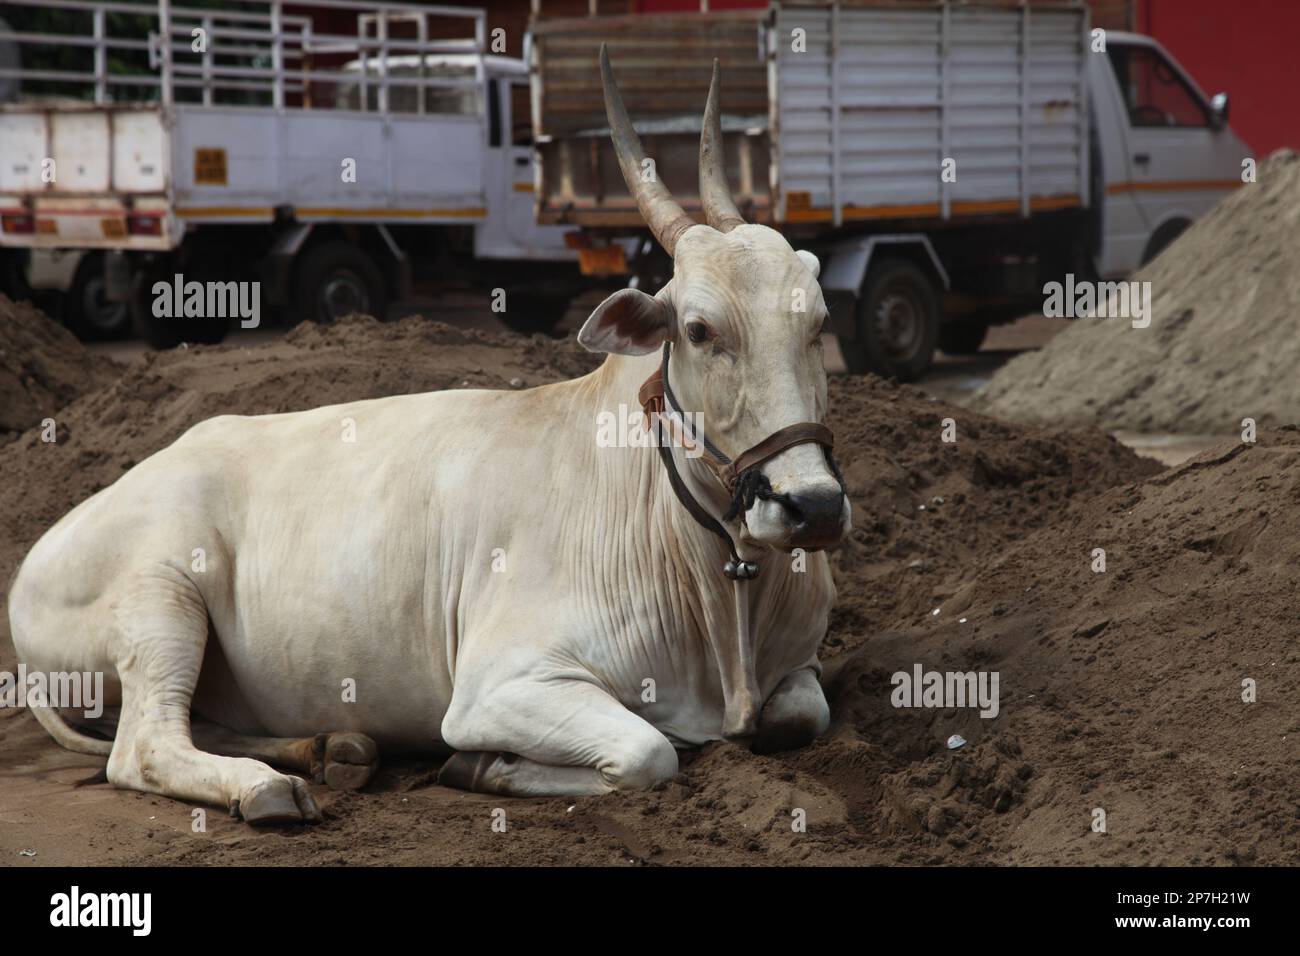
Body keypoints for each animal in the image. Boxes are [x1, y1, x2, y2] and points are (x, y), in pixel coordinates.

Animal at [6, 48, 850, 824]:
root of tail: (39, 553)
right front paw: (478, 767)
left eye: (818, 322)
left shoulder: (797, 671)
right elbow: (651, 751)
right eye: (701, 331)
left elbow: (802, 714)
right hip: (162, 599)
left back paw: (332, 745)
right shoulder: (500, 684)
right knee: (144, 744)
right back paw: (267, 788)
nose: (812, 506)